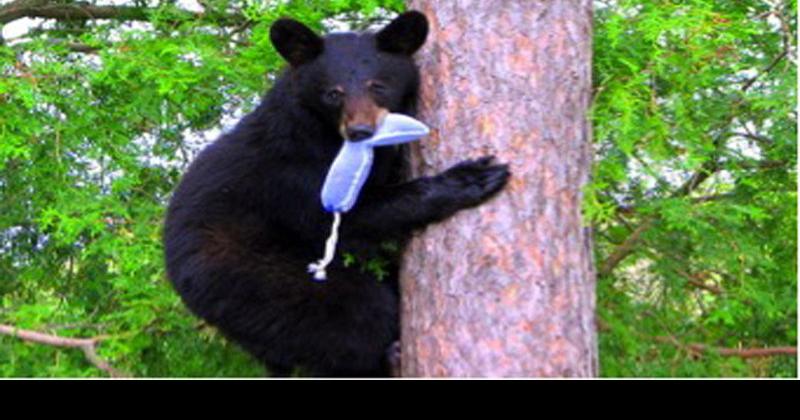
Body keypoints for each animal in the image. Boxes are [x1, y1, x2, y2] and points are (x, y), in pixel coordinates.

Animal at [163, 11, 510, 377]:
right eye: (333, 93)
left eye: (378, 86)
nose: (360, 131)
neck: (324, 132)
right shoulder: (295, 170)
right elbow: (347, 215)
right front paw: (469, 178)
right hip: (261, 282)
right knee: (358, 315)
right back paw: (388, 353)